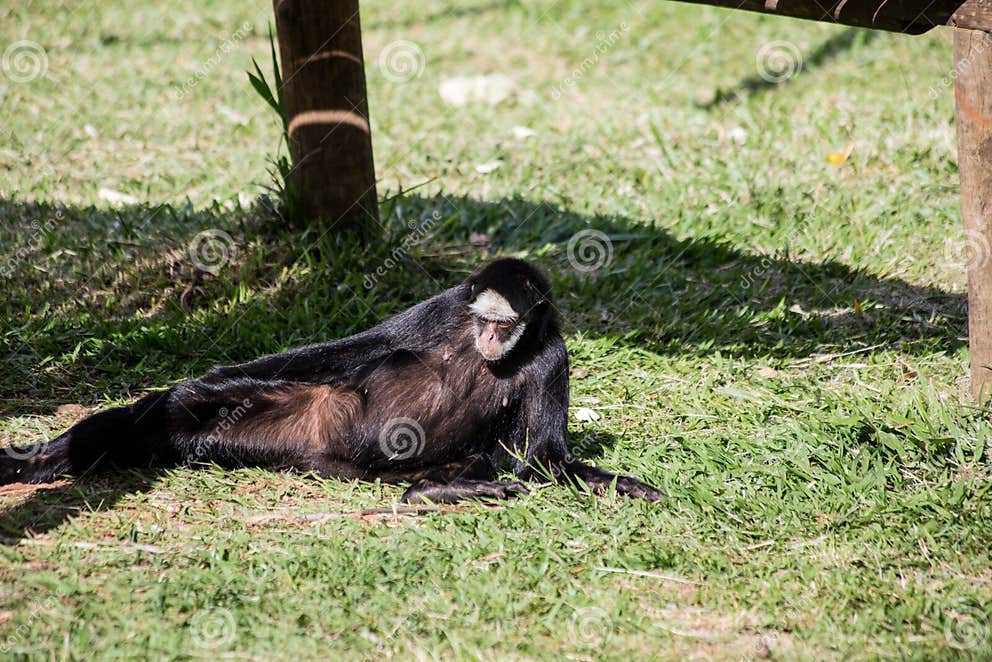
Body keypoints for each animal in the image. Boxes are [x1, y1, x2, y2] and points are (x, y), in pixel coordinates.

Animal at [0, 258, 664, 504]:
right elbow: (362, 346)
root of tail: (323, 453)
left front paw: (624, 484)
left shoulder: (550, 354)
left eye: (508, 324)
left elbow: (547, 457)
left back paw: (438, 490)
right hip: (295, 404)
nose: (491, 339)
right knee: (178, 409)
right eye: (482, 320)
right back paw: (37, 463)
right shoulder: (447, 307)